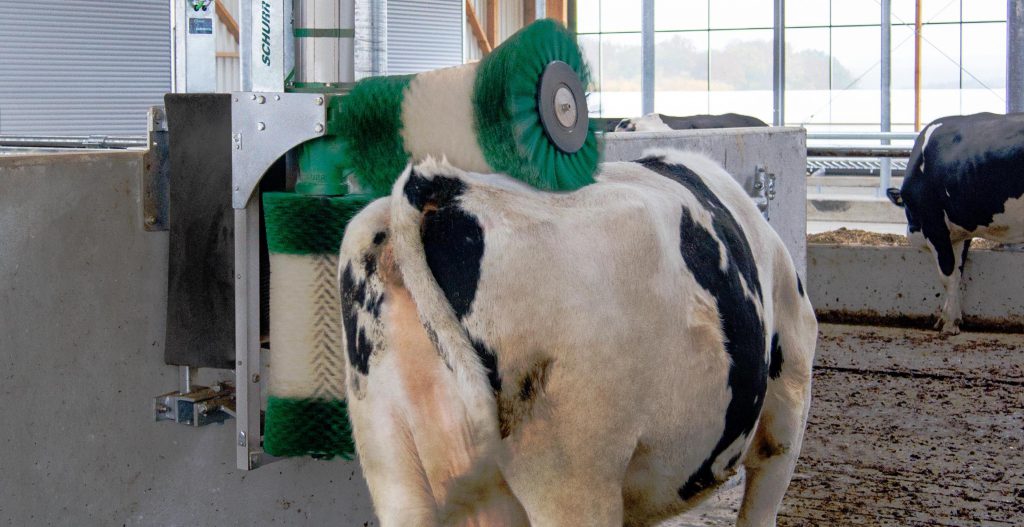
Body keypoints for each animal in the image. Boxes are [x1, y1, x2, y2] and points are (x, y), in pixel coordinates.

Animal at [887, 112, 1024, 335]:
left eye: (907, 204)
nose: (910, 230)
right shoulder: (961, 234)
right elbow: (958, 272)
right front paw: (953, 318)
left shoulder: (934, 225)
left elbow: (947, 274)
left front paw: (950, 324)